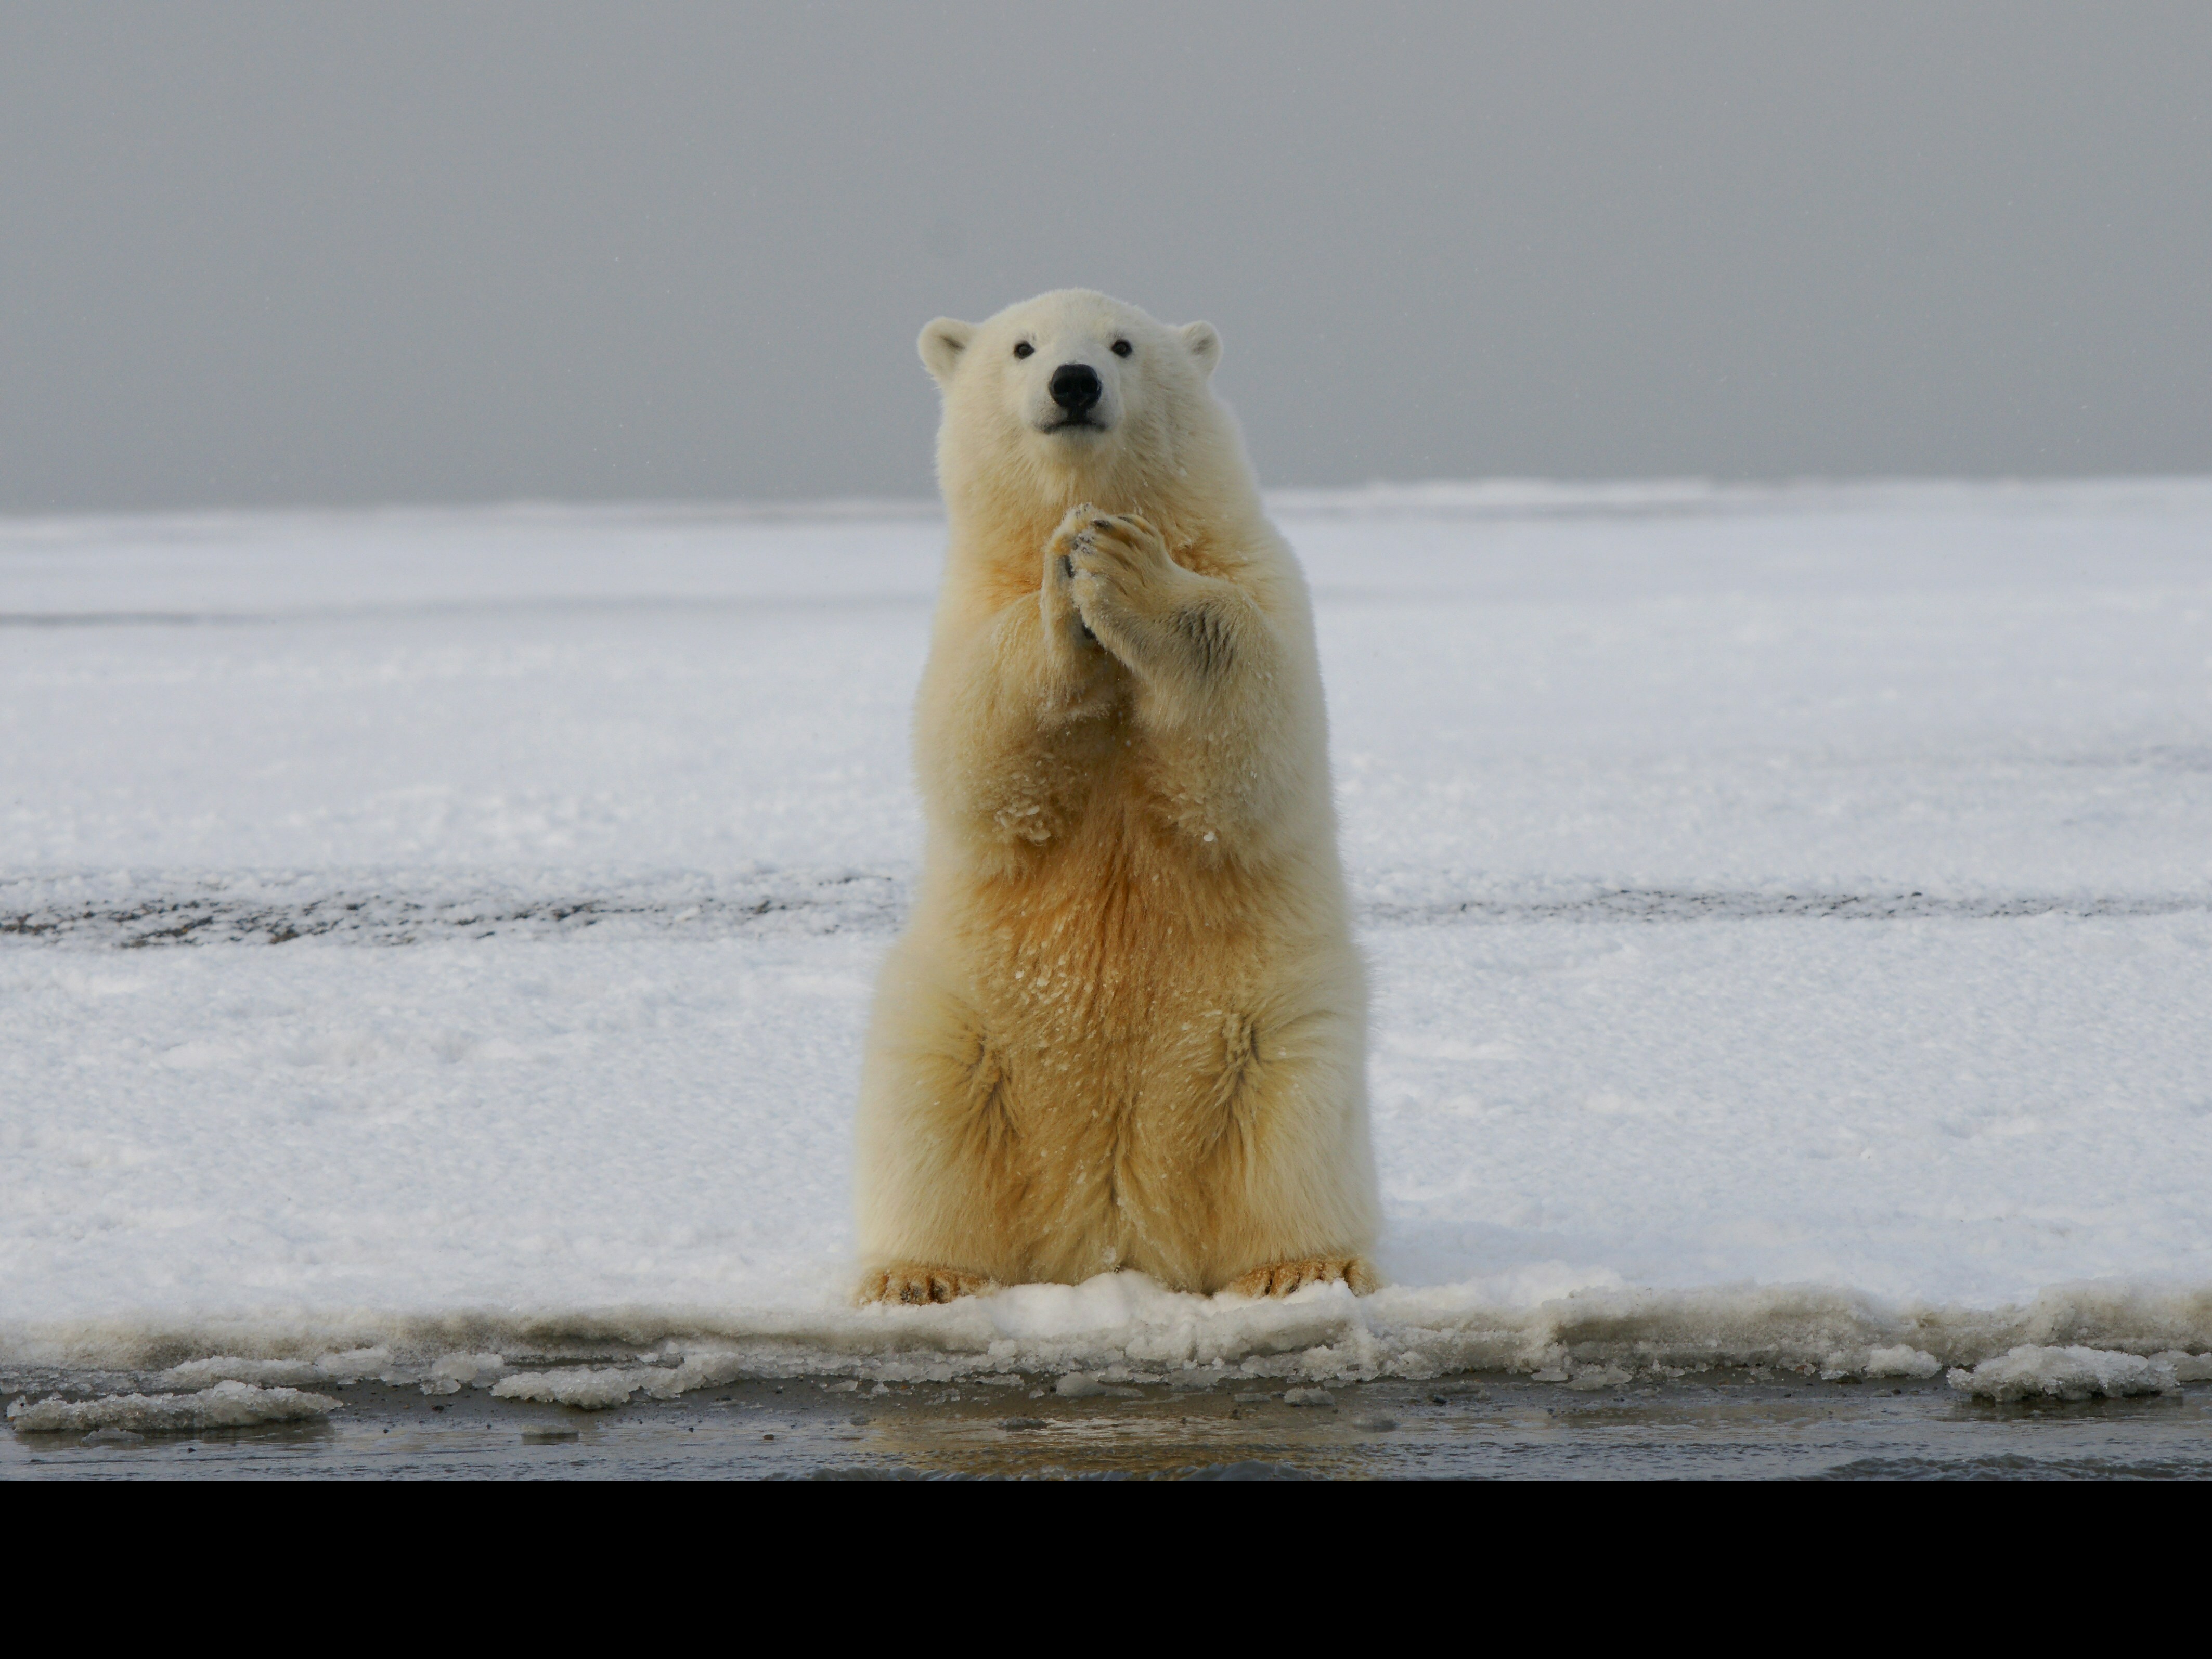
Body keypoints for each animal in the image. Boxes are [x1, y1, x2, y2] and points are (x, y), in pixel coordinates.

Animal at [853, 288, 1378, 1304]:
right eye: (1022, 346)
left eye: (1123, 344)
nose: (1073, 381)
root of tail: (1112, 1234)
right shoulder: (967, 606)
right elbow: (976, 748)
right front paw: (1067, 583)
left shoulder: (1258, 575)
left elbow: (1254, 735)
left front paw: (1125, 570)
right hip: (962, 1026)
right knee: (929, 1124)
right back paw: (921, 1275)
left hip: (1271, 1028)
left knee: (1293, 1135)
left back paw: (1300, 1266)